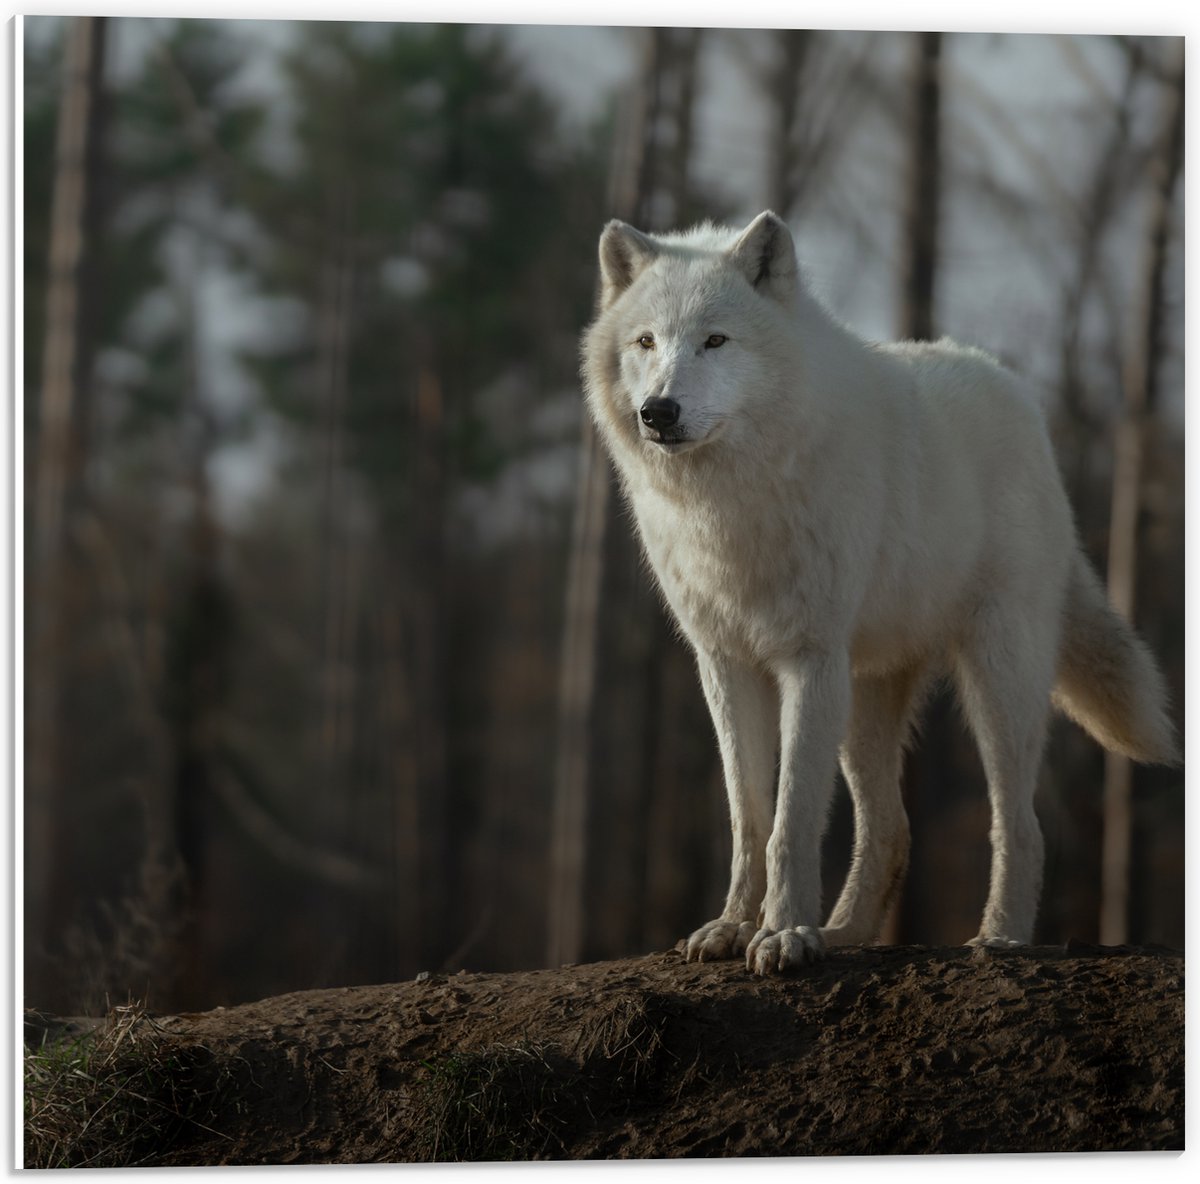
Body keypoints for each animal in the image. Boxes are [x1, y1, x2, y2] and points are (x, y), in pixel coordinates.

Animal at [580, 210, 1178, 976]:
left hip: (995, 682)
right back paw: (843, 933)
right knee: (891, 829)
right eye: (646, 343)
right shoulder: (724, 662)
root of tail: (1014, 390)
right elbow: (749, 816)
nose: (659, 411)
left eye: (715, 341)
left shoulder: (809, 659)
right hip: (865, 701)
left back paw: (999, 936)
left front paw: (782, 935)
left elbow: (790, 820)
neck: (732, 504)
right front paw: (735, 928)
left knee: (1020, 824)